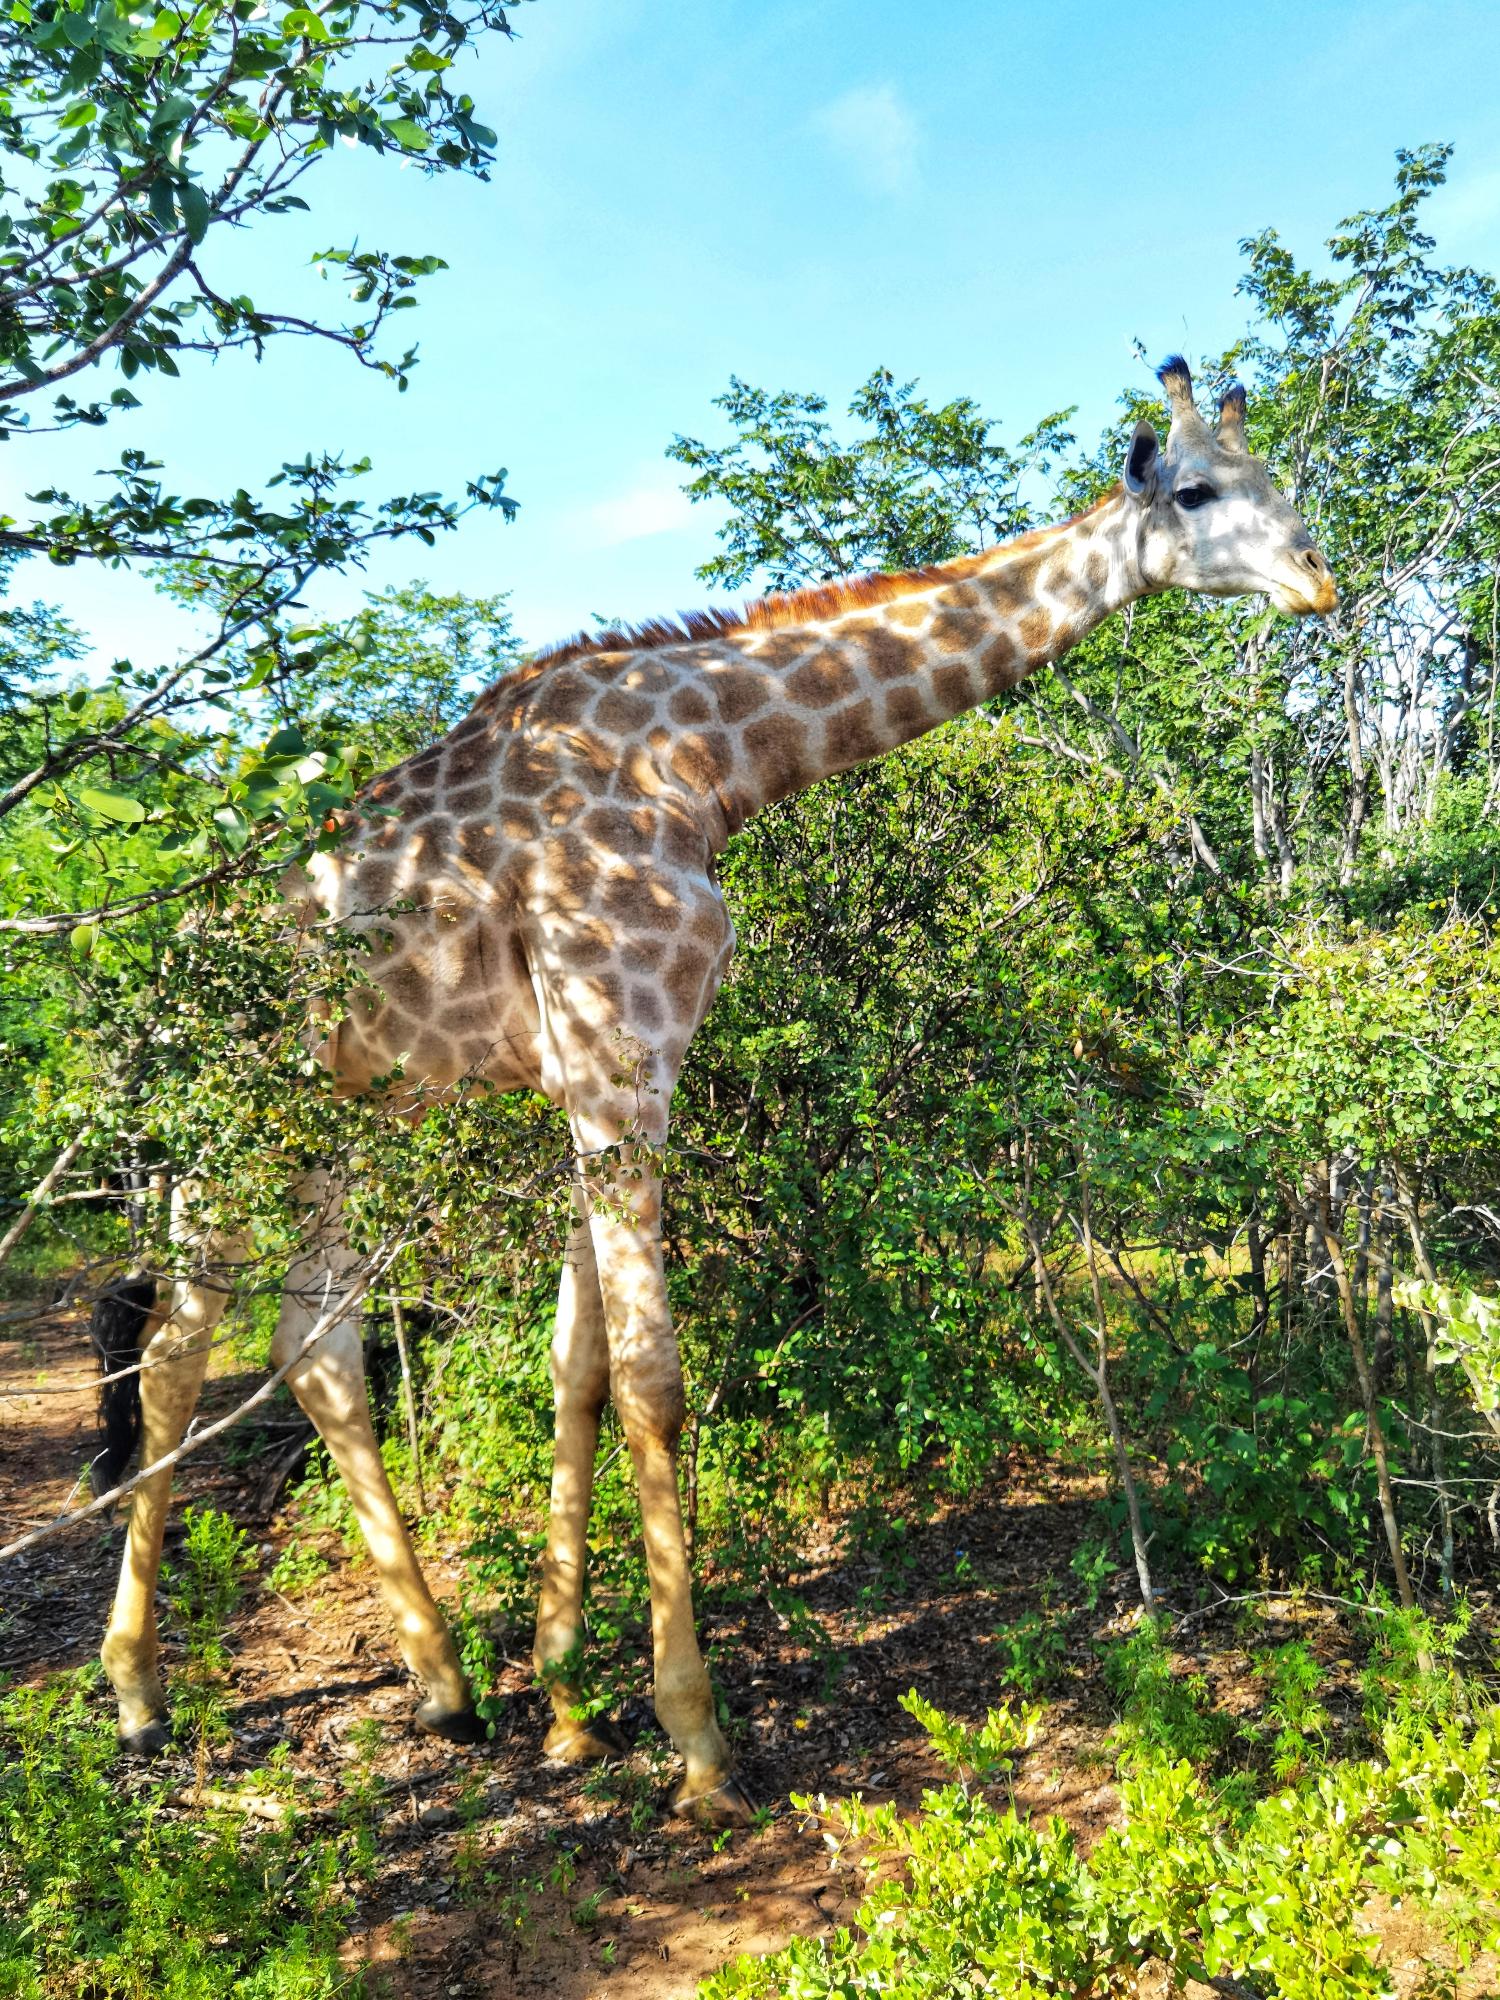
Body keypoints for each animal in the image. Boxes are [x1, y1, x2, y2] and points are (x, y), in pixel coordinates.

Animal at [97, 352, 1336, 1824]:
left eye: (1286, 480)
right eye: (1195, 491)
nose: (1320, 582)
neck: (709, 762)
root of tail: (171, 946)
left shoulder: (624, 1055)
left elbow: (575, 1365)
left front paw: (568, 1701)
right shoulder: (614, 1040)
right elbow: (652, 1377)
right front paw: (694, 1739)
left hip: (333, 1111)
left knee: (314, 1345)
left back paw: (445, 1682)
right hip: (223, 1117)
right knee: (178, 1351)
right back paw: (138, 1695)